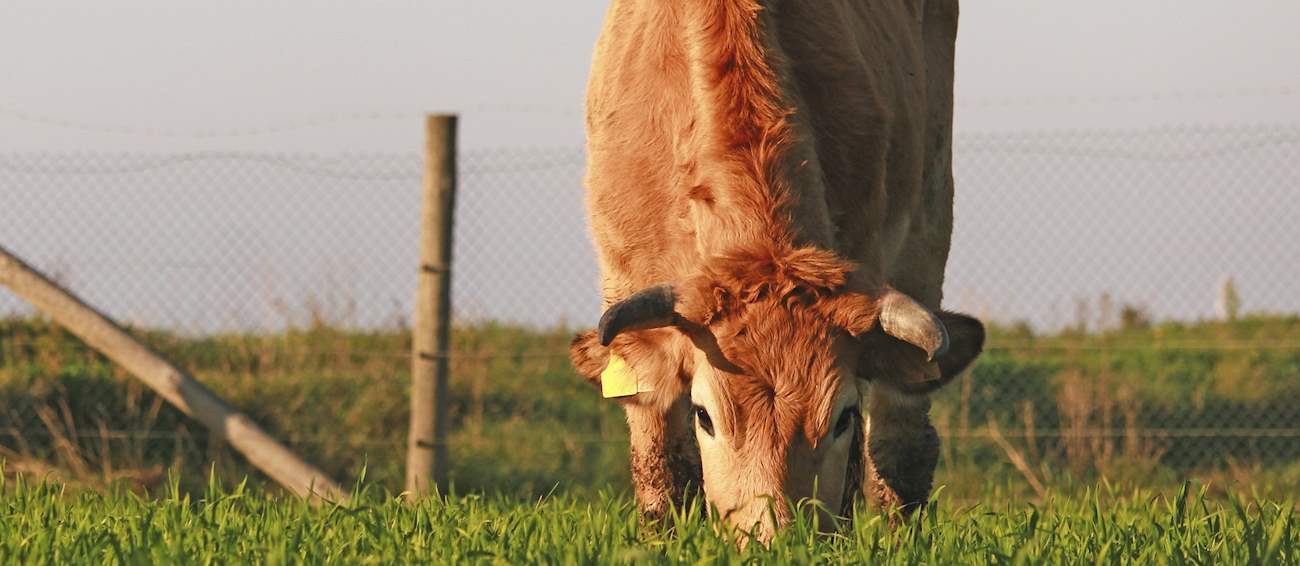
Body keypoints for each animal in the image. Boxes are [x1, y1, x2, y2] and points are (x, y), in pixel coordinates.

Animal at [569, 0, 984, 539]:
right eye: (704, 416)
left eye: (843, 417)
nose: (777, 539)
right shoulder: (625, 285)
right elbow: (661, 459)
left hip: (930, 207)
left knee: (901, 442)